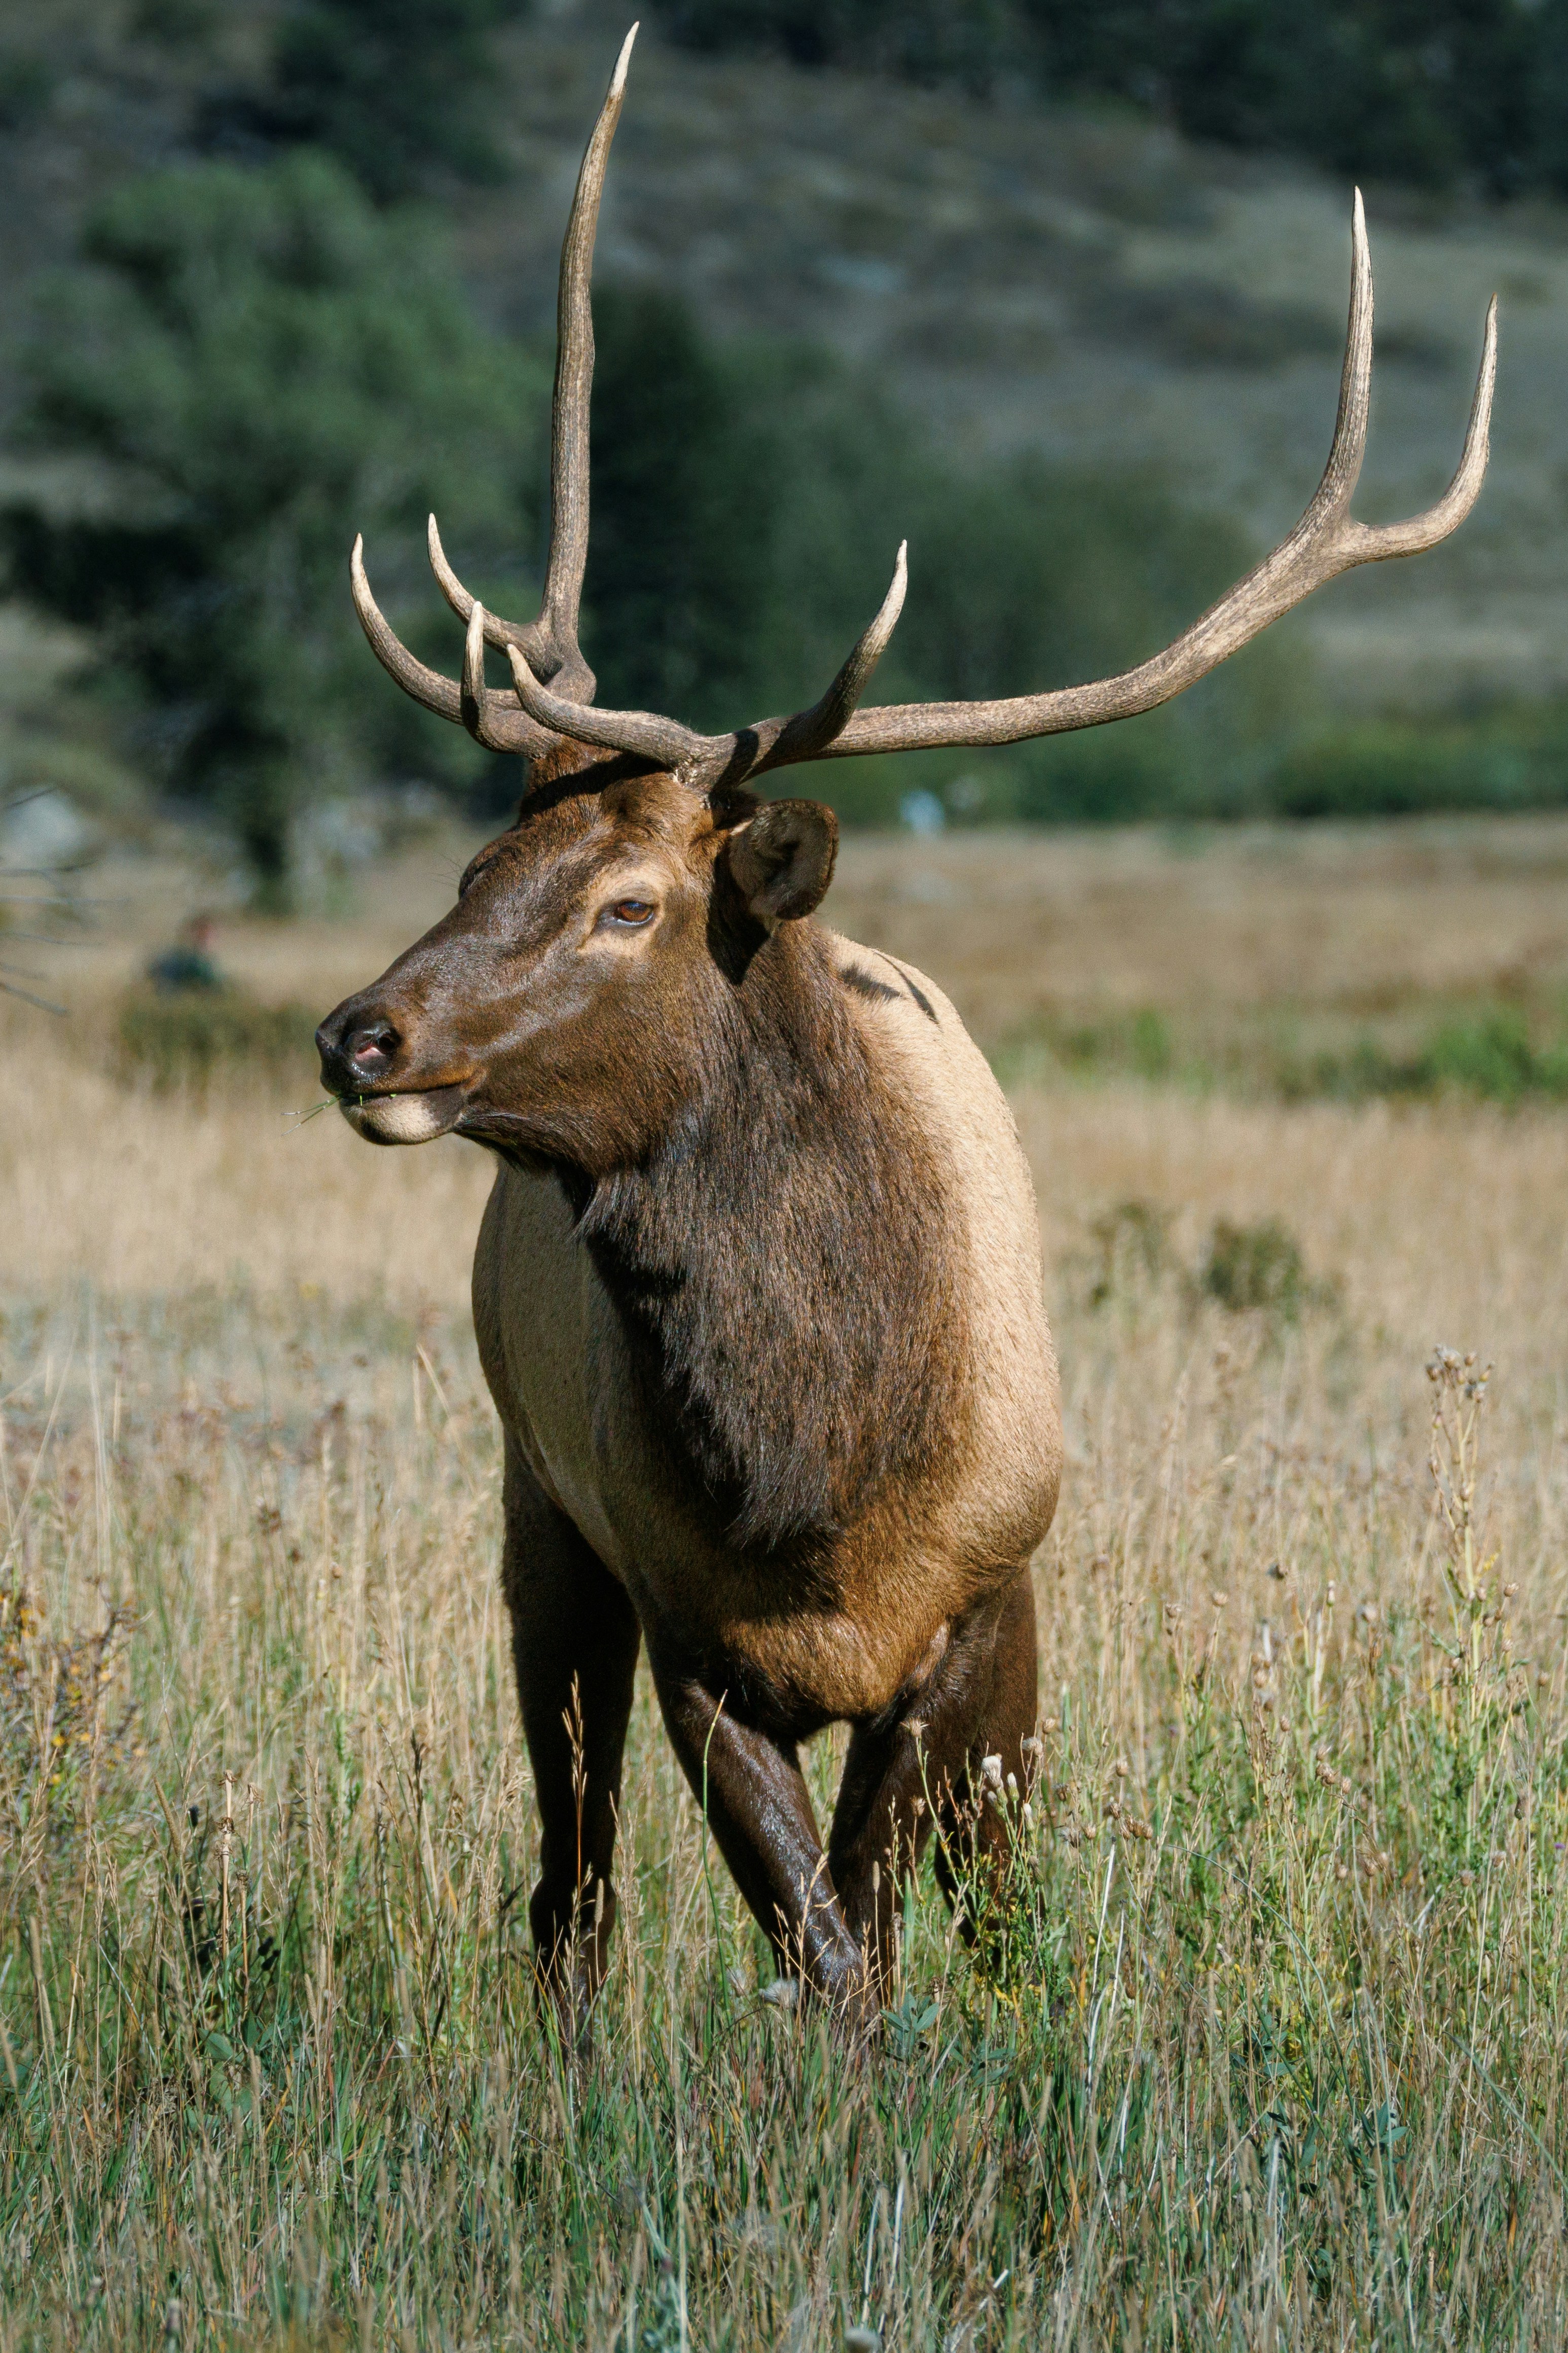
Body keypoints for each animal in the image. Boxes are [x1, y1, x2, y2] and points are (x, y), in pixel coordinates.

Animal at [316, 26, 1496, 2042]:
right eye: (478, 861)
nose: (361, 1034)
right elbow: (817, 1947)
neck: (820, 1496)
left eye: (629, 905)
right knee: (569, 1872)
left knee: (988, 1887)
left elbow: (884, 1929)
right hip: (532, 1497)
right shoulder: (685, 1616)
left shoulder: (975, 1606)